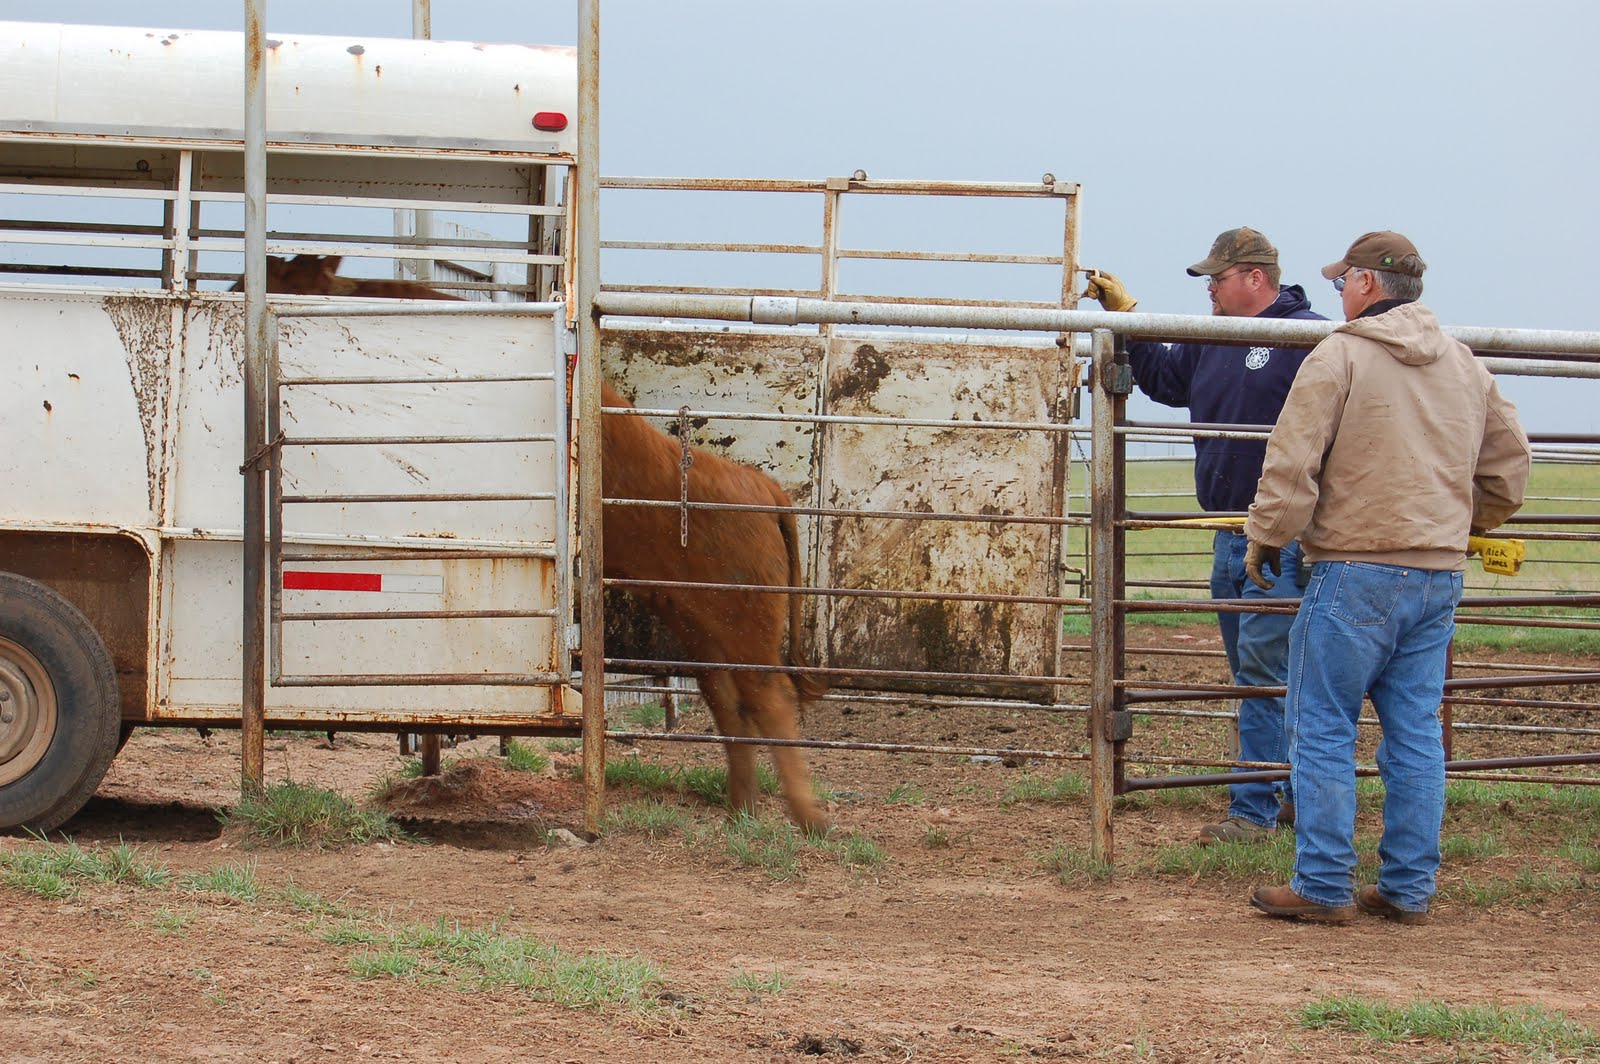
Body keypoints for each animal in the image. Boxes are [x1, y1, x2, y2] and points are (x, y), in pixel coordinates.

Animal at [250, 255, 830, 831]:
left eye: (284, 277)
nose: (237, 283)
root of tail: (766, 489)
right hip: (702, 625)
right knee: (730, 700)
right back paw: (741, 809)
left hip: (748, 615)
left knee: (771, 696)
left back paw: (810, 820)